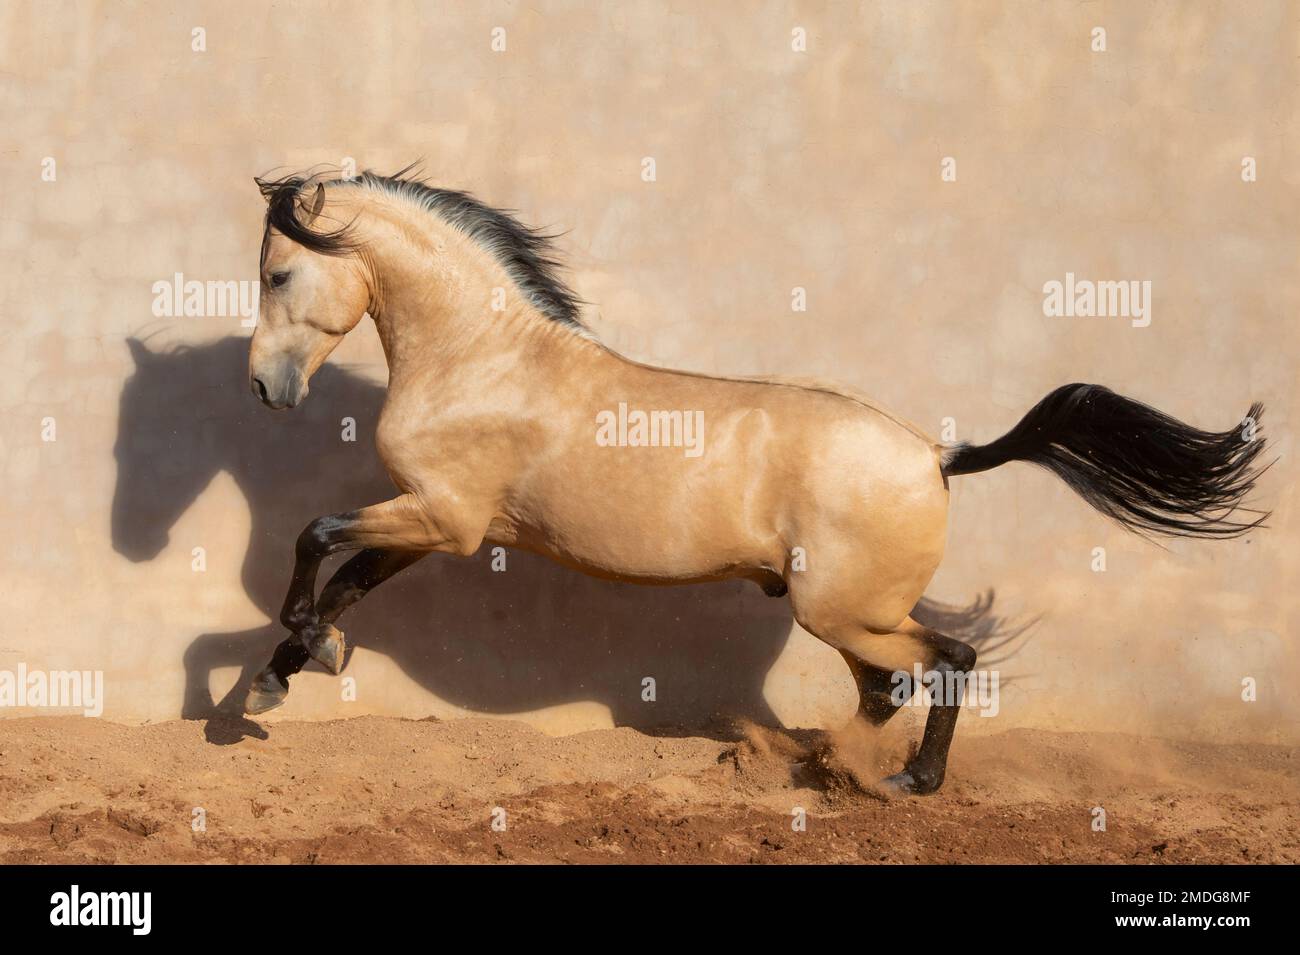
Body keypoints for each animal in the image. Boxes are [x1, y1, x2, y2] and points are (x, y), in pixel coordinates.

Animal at [245, 166, 1268, 794]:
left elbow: (314, 538)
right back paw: (835, 771)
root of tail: (935, 455)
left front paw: (299, 661)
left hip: (843, 611)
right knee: (889, 687)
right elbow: (345, 583)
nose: (264, 387)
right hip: (845, 613)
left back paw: (906, 780)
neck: (482, 358)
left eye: (279, 272)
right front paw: (275, 681)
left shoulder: (440, 519)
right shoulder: (437, 526)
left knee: (949, 660)